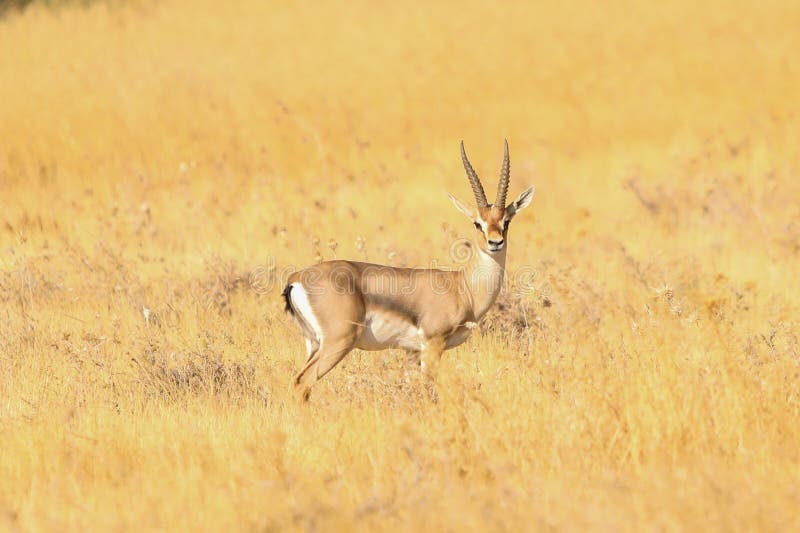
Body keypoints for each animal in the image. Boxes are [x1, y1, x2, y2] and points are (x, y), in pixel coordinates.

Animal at [283, 141, 535, 400]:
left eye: (506, 222)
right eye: (477, 223)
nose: (495, 242)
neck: (463, 288)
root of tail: (296, 279)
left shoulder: (414, 352)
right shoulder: (433, 345)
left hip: (314, 343)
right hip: (338, 342)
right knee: (302, 382)